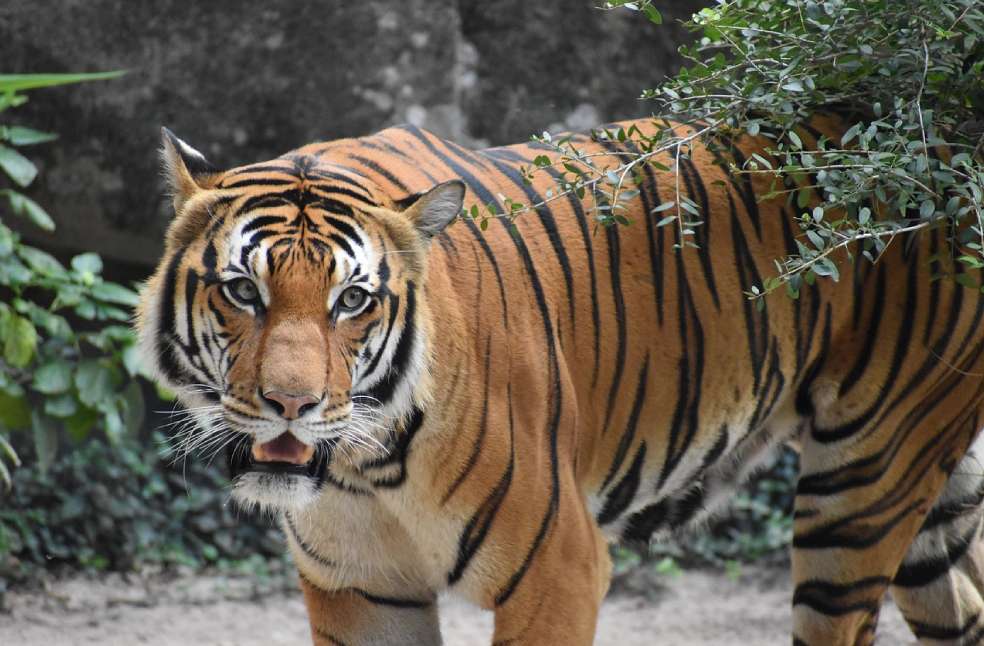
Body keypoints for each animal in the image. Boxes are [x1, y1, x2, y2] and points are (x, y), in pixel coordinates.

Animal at [135, 113, 984, 646]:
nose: (292, 404)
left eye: (353, 300)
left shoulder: (559, 570)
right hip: (927, 498)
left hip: (861, 490)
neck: (364, 468)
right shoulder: (361, 588)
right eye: (243, 290)